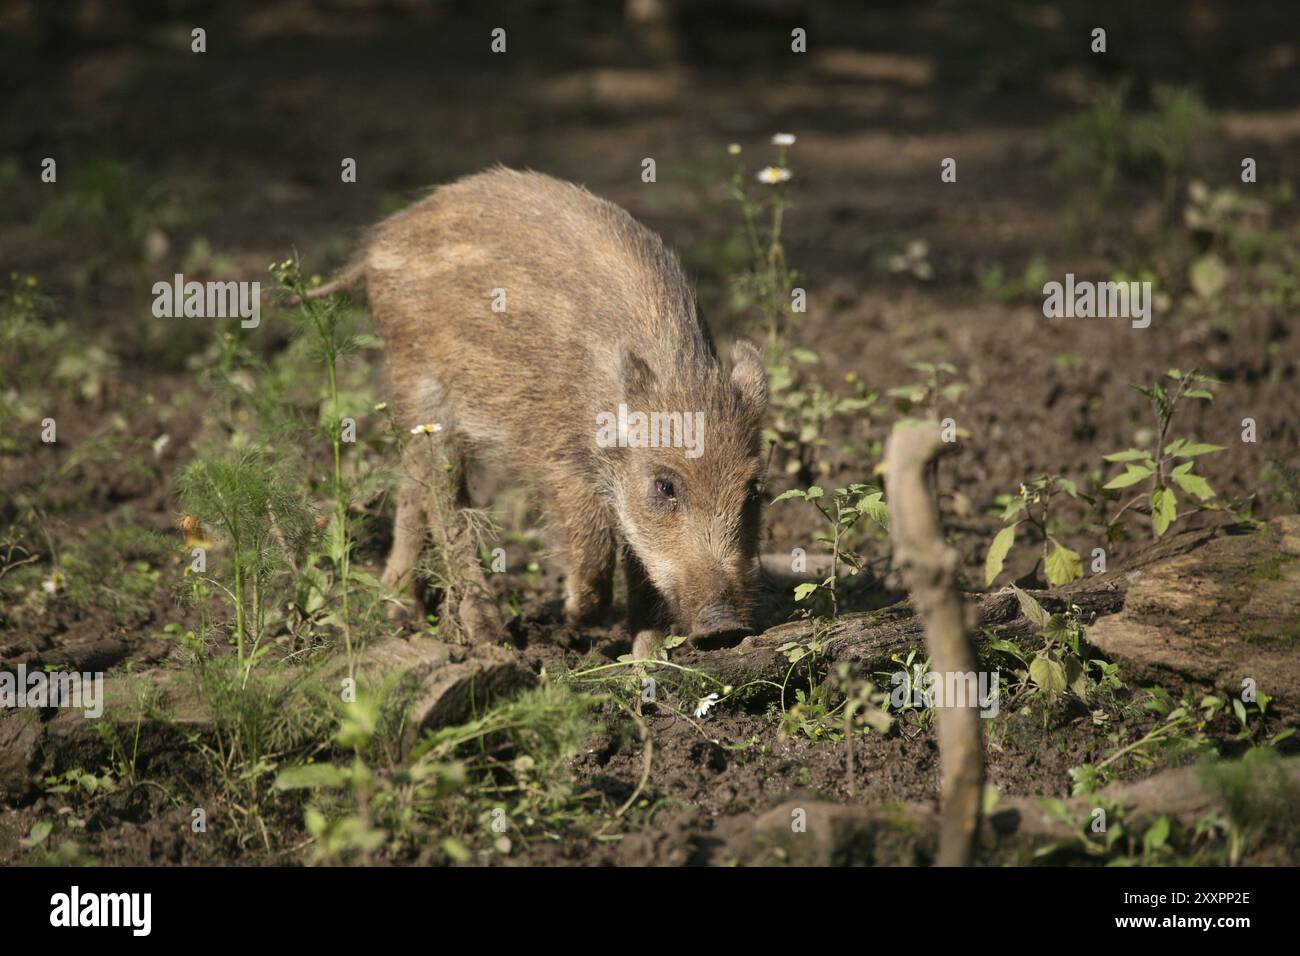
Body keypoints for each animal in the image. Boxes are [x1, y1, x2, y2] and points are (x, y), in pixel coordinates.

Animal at [306, 167, 768, 657]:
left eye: (754, 490)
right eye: (665, 486)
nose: (725, 629)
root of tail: (383, 240)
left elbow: (636, 558)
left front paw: (647, 658)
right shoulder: (557, 458)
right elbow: (594, 537)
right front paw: (573, 615)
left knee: (414, 485)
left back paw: (399, 610)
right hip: (422, 386)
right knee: (445, 503)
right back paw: (489, 635)